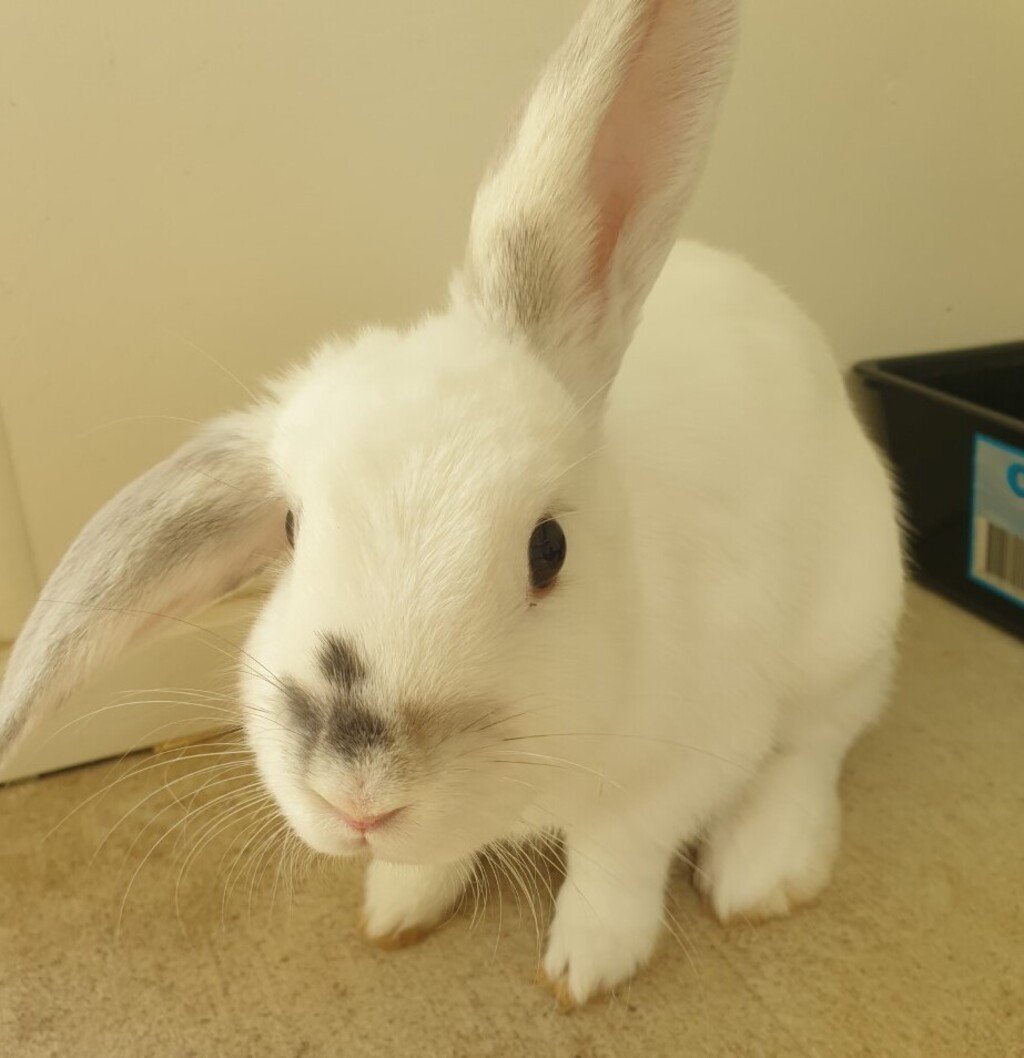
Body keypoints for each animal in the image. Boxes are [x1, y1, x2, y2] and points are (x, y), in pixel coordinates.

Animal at [0, 0, 904, 1006]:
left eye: (548, 549)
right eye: (291, 529)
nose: (358, 796)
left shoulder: (679, 763)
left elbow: (614, 861)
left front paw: (585, 967)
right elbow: (434, 862)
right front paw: (396, 910)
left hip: (848, 634)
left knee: (818, 745)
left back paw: (761, 875)